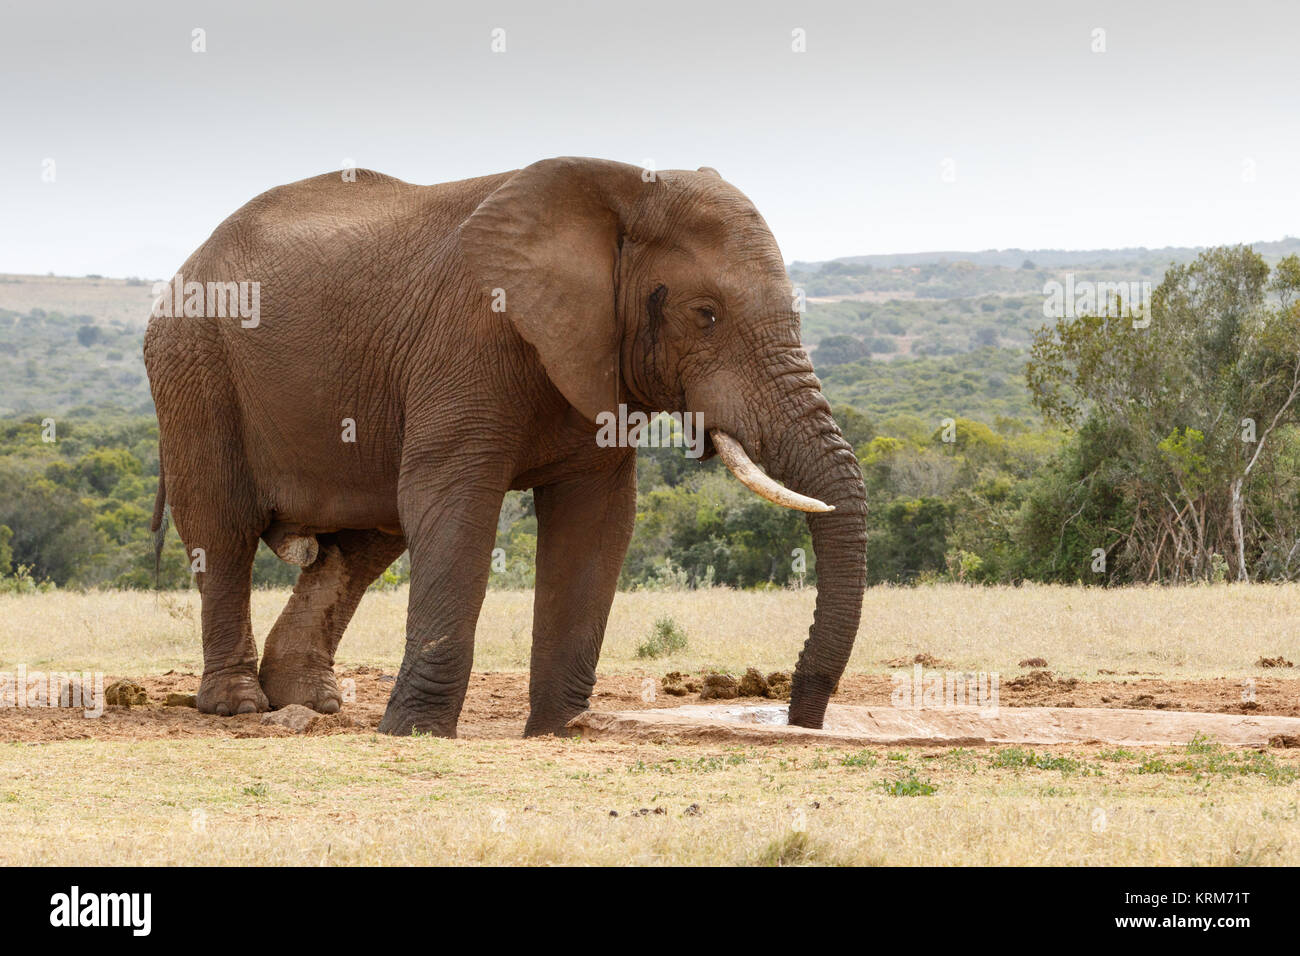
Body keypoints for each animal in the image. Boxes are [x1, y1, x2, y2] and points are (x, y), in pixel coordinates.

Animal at [143, 157, 867, 737]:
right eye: (705, 314)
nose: (799, 720)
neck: (623, 192)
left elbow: (598, 520)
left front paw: (560, 730)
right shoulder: (467, 340)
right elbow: (453, 507)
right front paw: (415, 734)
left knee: (364, 541)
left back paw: (309, 702)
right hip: (193, 364)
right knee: (223, 531)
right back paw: (238, 706)